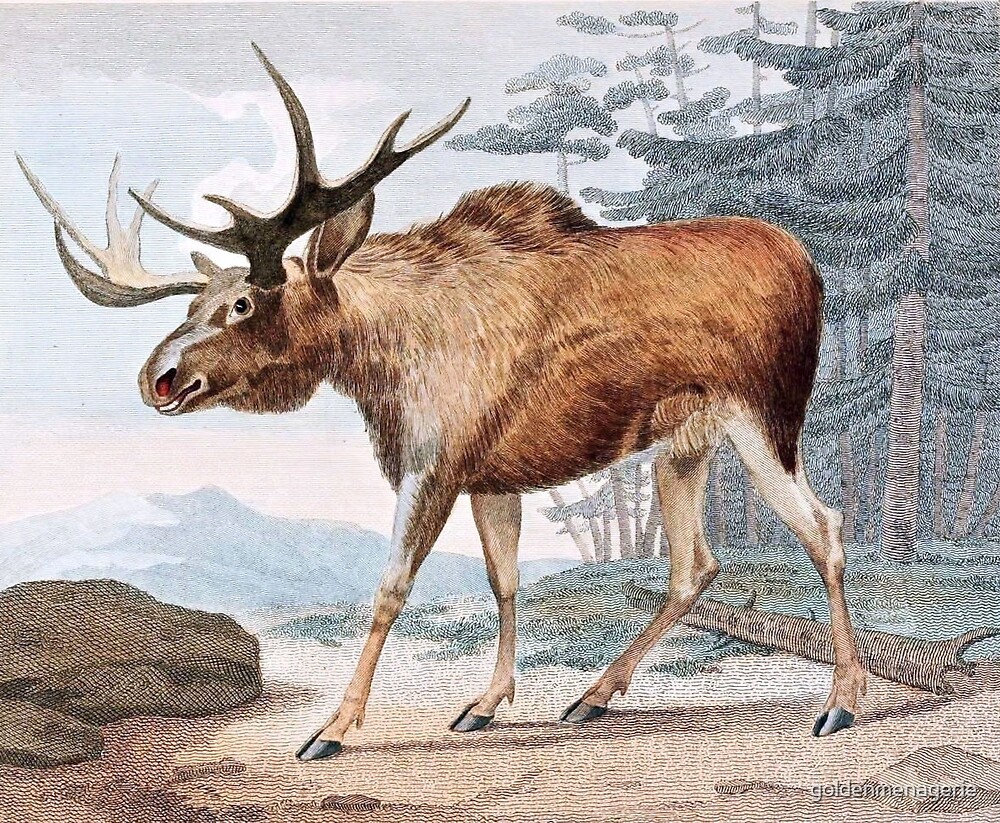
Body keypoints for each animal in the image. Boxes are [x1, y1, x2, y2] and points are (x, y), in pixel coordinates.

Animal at [17, 44, 866, 761]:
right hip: (684, 443)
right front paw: (487, 701)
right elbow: (504, 580)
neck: (379, 358)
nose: (158, 375)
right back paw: (593, 693)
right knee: (696, 563)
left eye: (246, 302)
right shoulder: (491, 475)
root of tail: (810, 265)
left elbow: (391, 588)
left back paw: (842, 699)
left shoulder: (433, 466)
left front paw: (333, 726)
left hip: (764, 418)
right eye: (199, 299)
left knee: (825, 527)